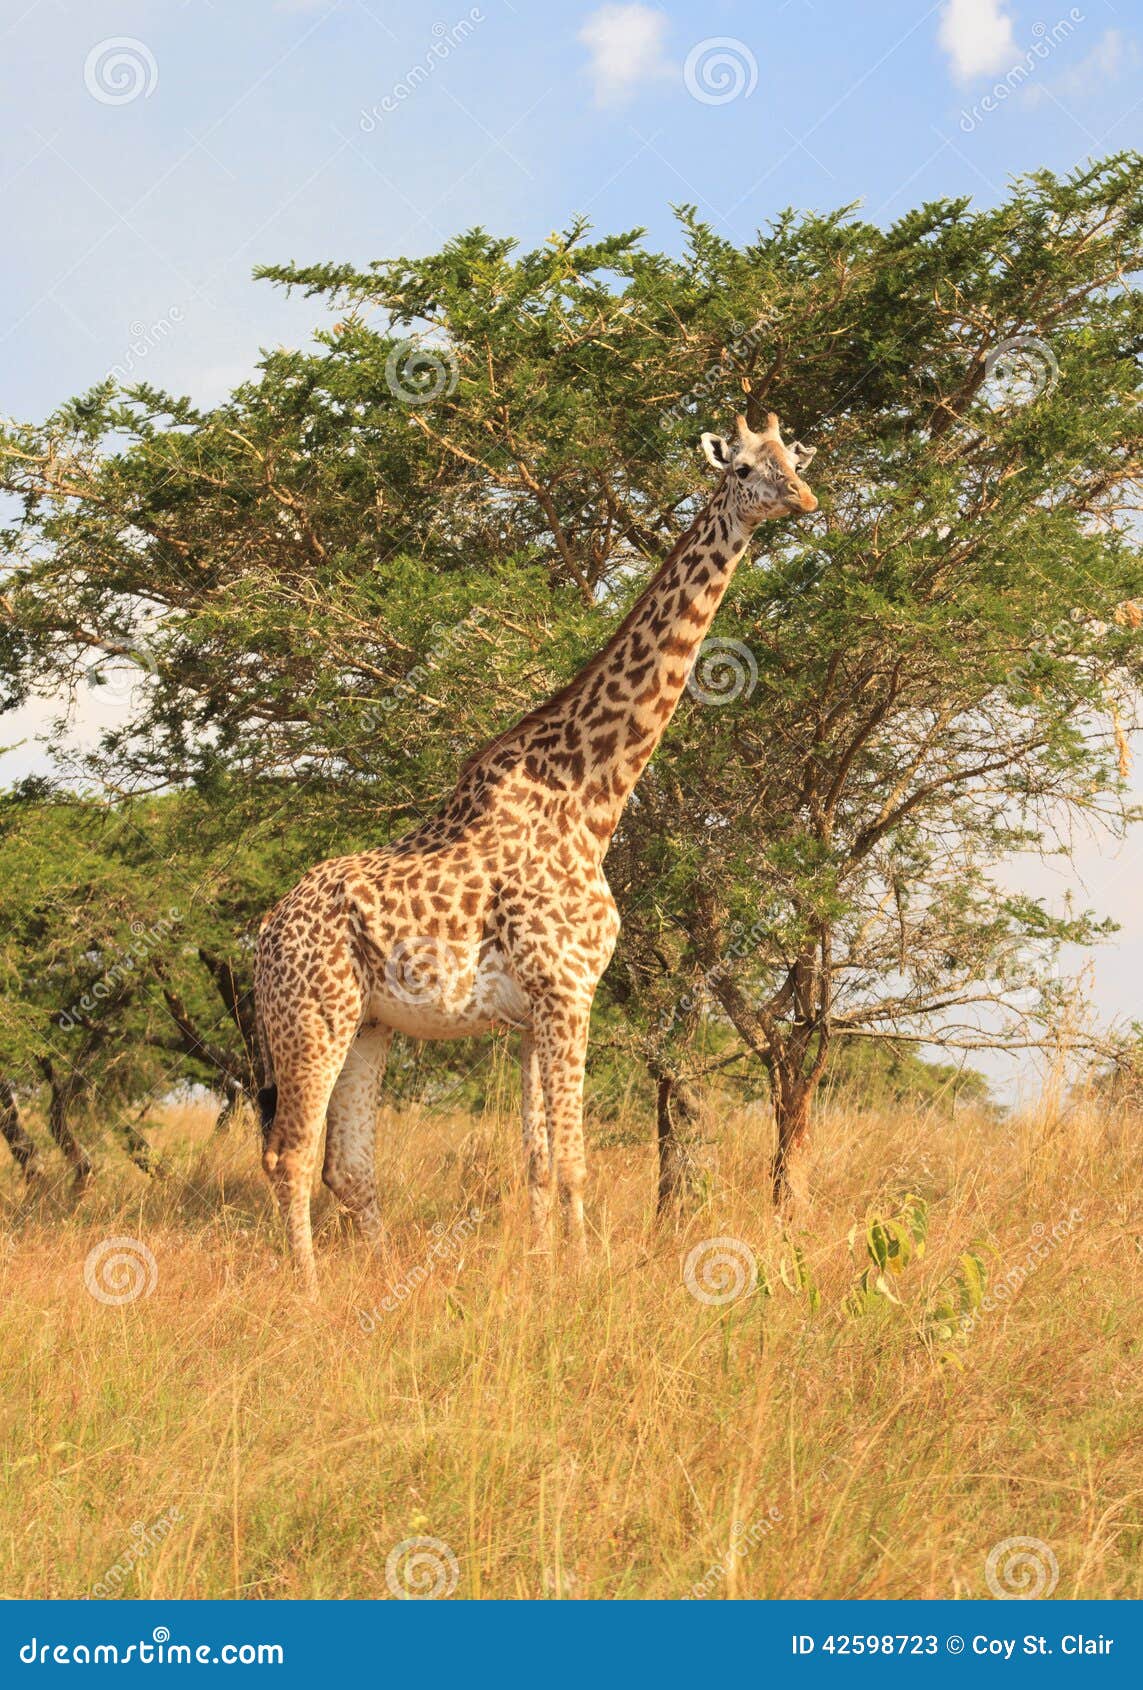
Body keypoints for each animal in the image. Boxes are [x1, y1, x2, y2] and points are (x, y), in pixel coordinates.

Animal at [254, 413, 817, 1291]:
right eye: (744, 468)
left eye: (792, 458)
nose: (802, 497)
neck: (592, 799)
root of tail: (264, 933)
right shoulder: (568, 990)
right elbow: (577, 1161)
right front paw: (583, 1278)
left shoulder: (529, 1012)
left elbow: (536, 1162)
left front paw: (543, 1269)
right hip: (312, 1013)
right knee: (290, 1155)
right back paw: (309, 1294)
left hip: (370, 1023)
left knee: (348, 1166)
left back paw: (380, 1280)